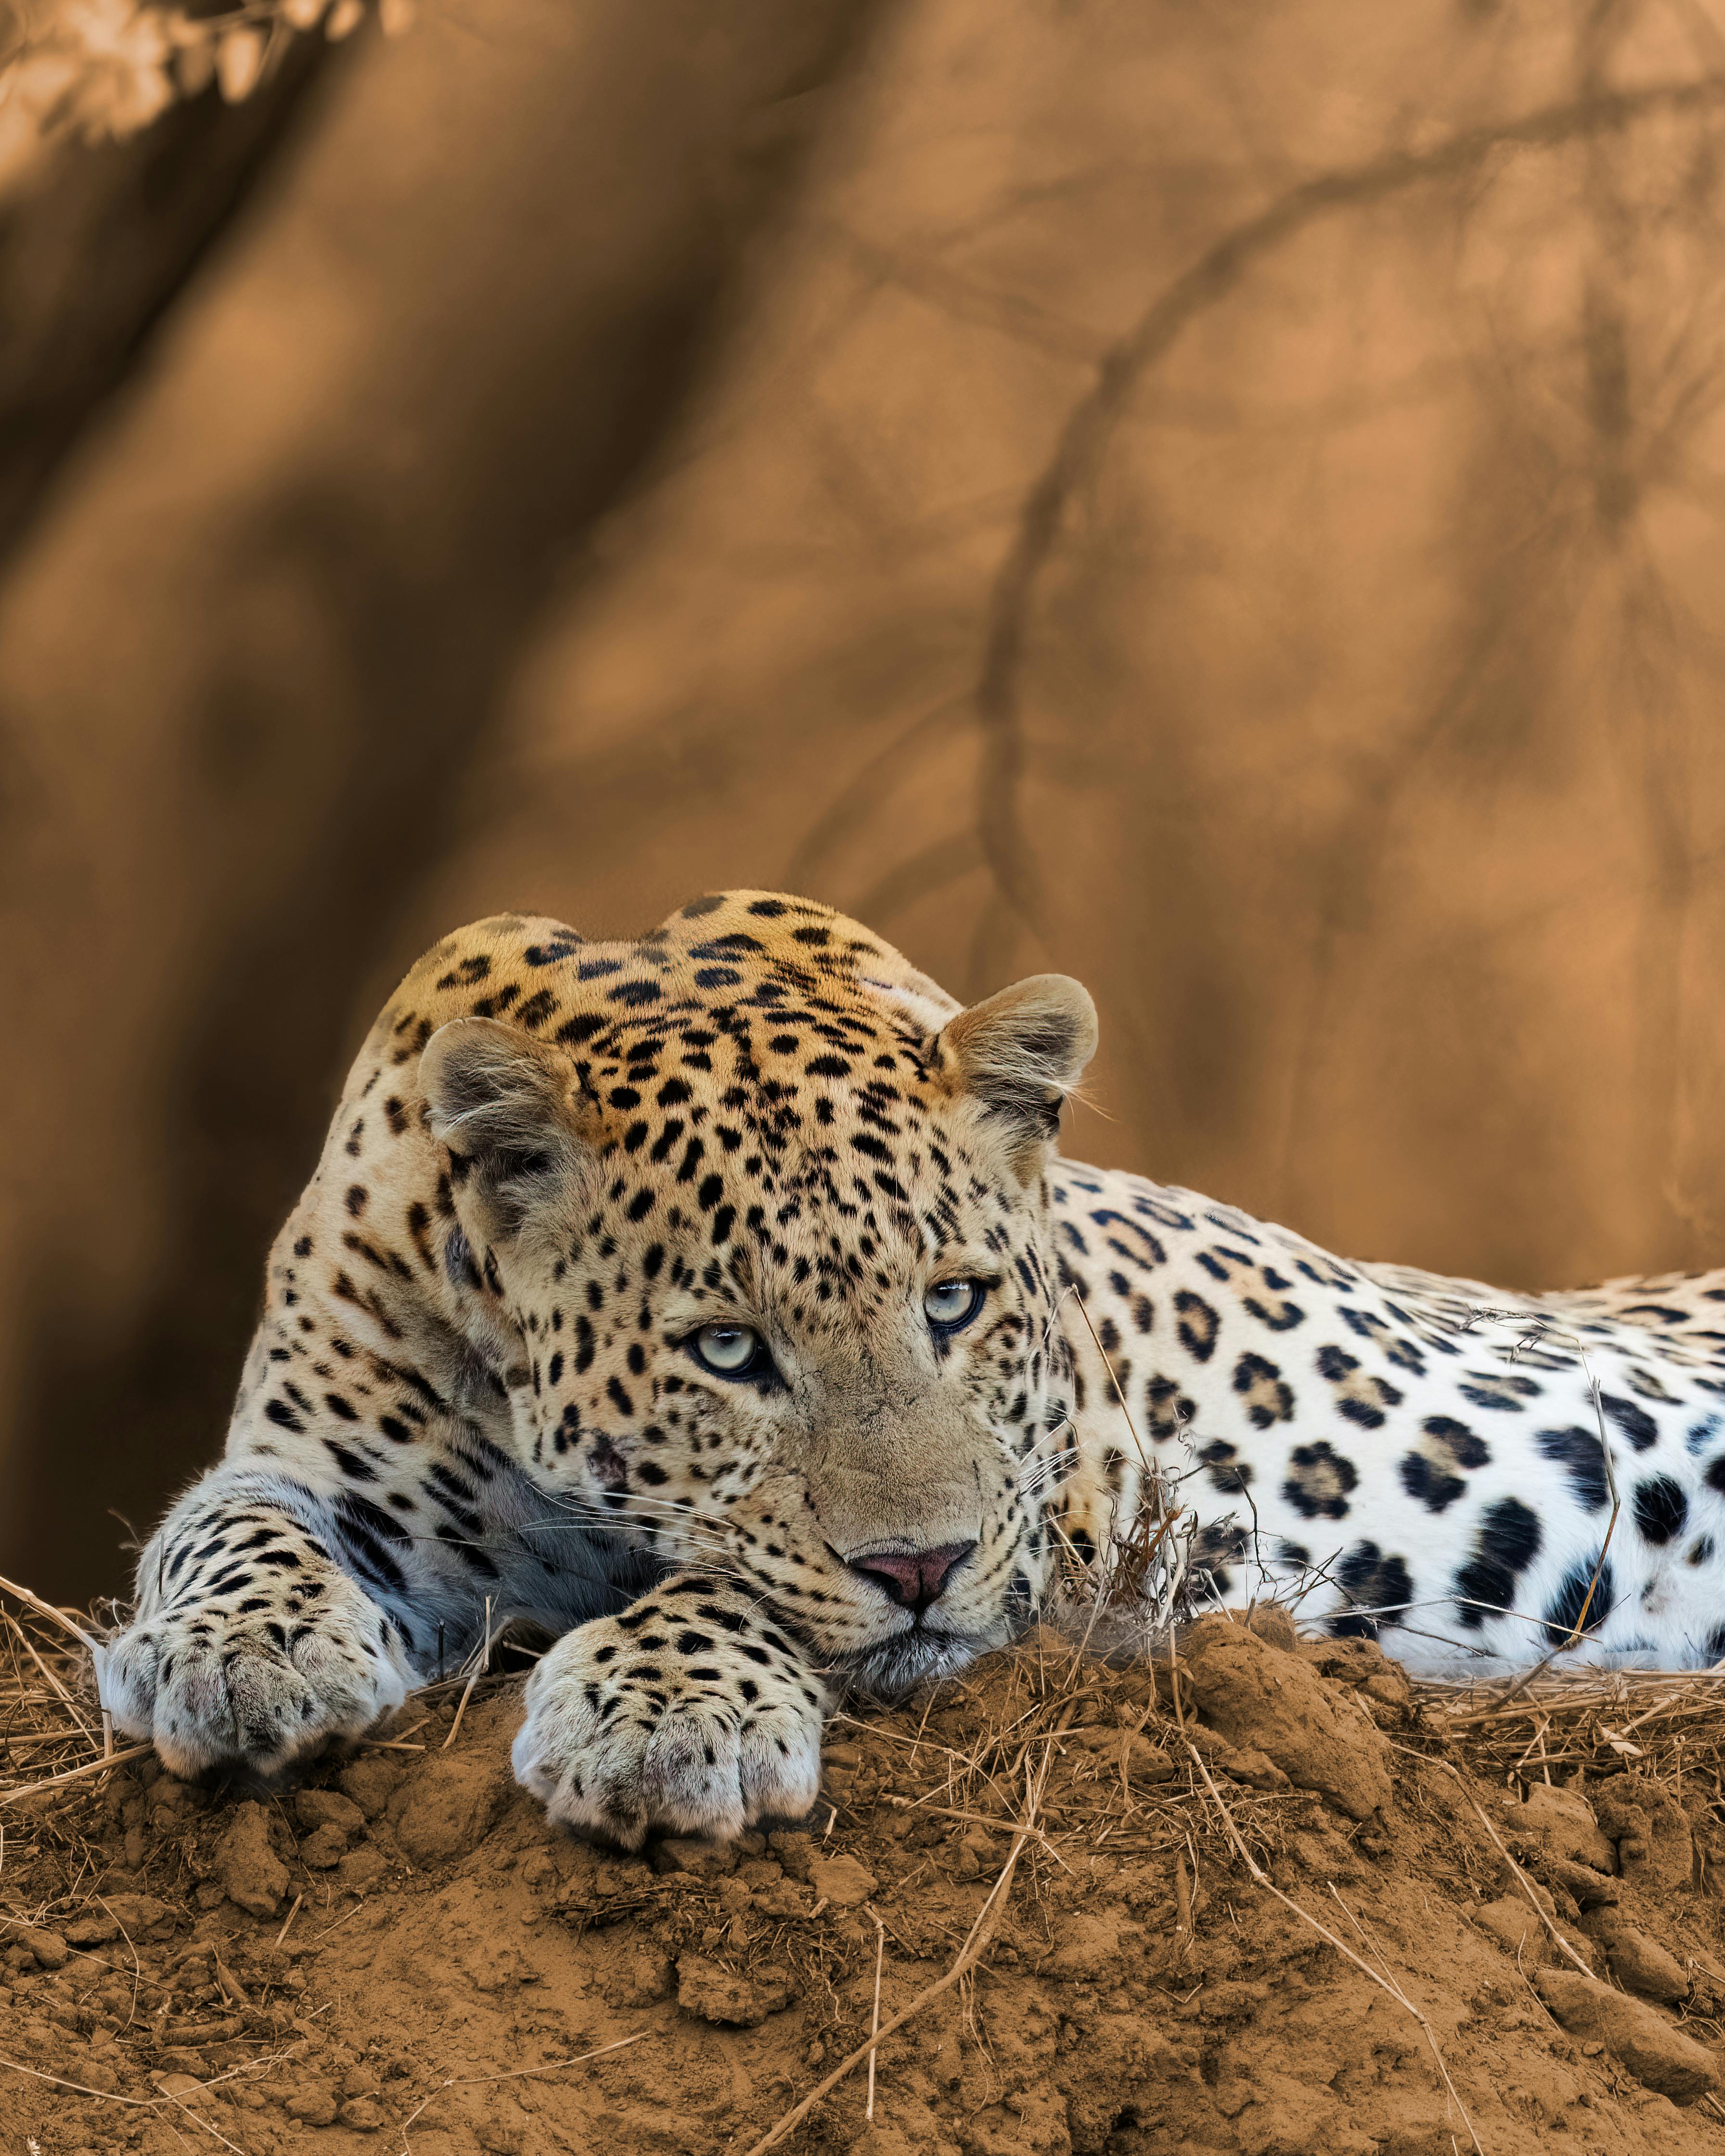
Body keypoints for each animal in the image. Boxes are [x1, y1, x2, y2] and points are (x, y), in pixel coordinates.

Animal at [101, 890, 1725, 1847]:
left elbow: (745, 1576)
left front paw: (662, 1712)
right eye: (728, 1346)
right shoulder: (314, 1454)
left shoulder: (1066, 1526)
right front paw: (238, 1656)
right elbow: (225, 1522)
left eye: (952, 1301)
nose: (923, 1569)